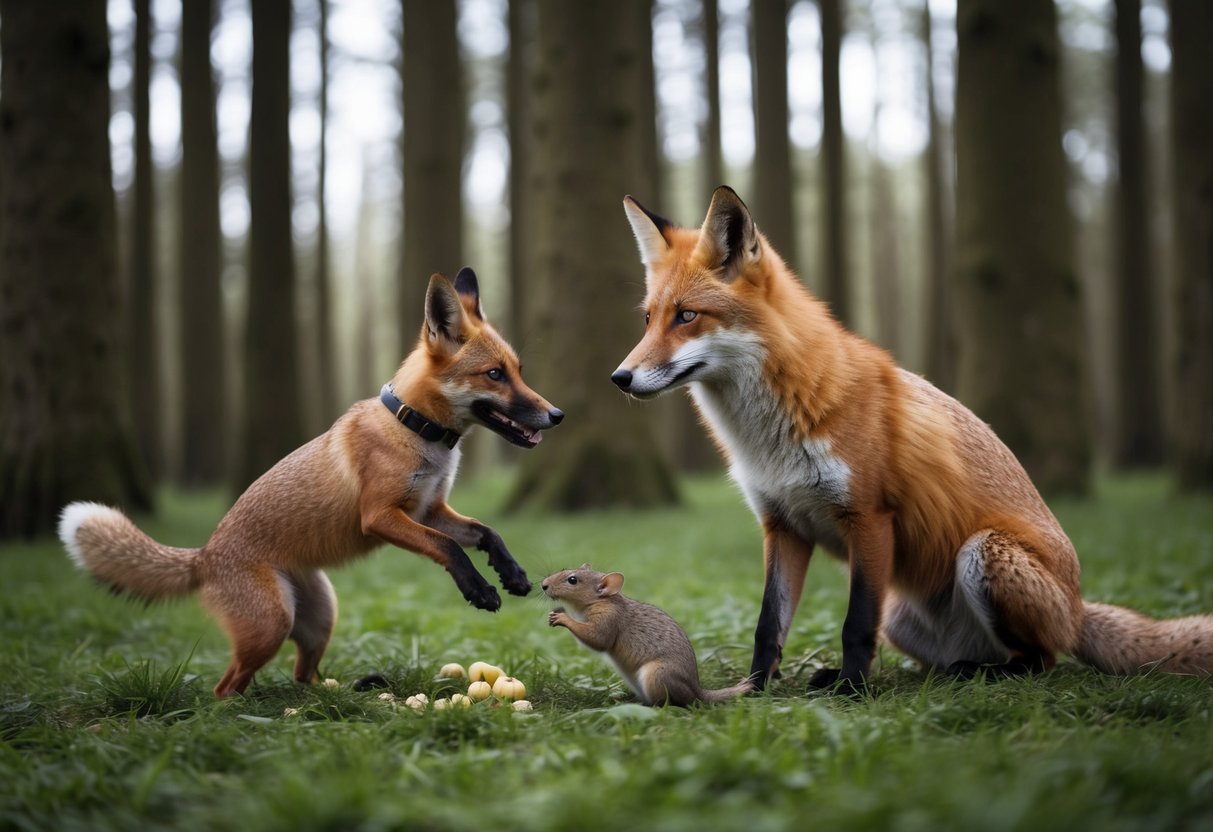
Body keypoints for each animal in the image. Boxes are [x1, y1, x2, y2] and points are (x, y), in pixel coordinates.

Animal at [59, 267, 563, 698]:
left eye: (518, 371)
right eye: (494, 375)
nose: (557, 415)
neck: (413, 427)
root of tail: (204, 555)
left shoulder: (430, 509)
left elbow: (486, 532)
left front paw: (512, 574)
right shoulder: (381, 516)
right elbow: (449, 547)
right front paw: (478, 589)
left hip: (321, 617)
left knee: (305, 675)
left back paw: (341, 697)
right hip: (272, 624)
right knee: (225, 689)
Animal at [612, 185, 1213, 693]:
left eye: (687, 316)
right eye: (648, 320)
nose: (619, 378)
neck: (771, 434)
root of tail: (1080, 607)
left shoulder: (870, 518)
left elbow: (855, 623)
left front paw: (854, 690)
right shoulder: (783, 526)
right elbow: (768, 625)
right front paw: (754, 691)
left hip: (983, 554)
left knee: (1041, 660)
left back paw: (978, 675)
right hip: (902, 615)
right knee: (952, 660)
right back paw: (939, 671)